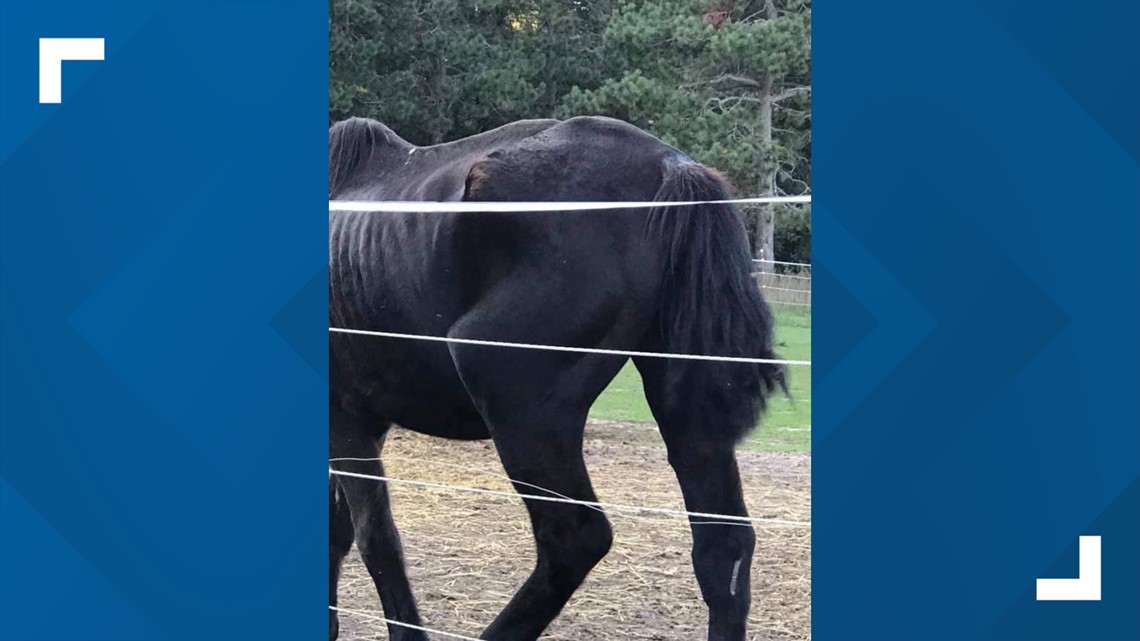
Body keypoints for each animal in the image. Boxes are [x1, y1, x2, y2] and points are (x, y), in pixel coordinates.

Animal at [328, 115, 786, 641]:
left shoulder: (347, 420)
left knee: (575, 540)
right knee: (722, 548)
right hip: (688, 411)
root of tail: (670, 167)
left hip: (516, 403)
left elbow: (376, 540)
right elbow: (338, 532)